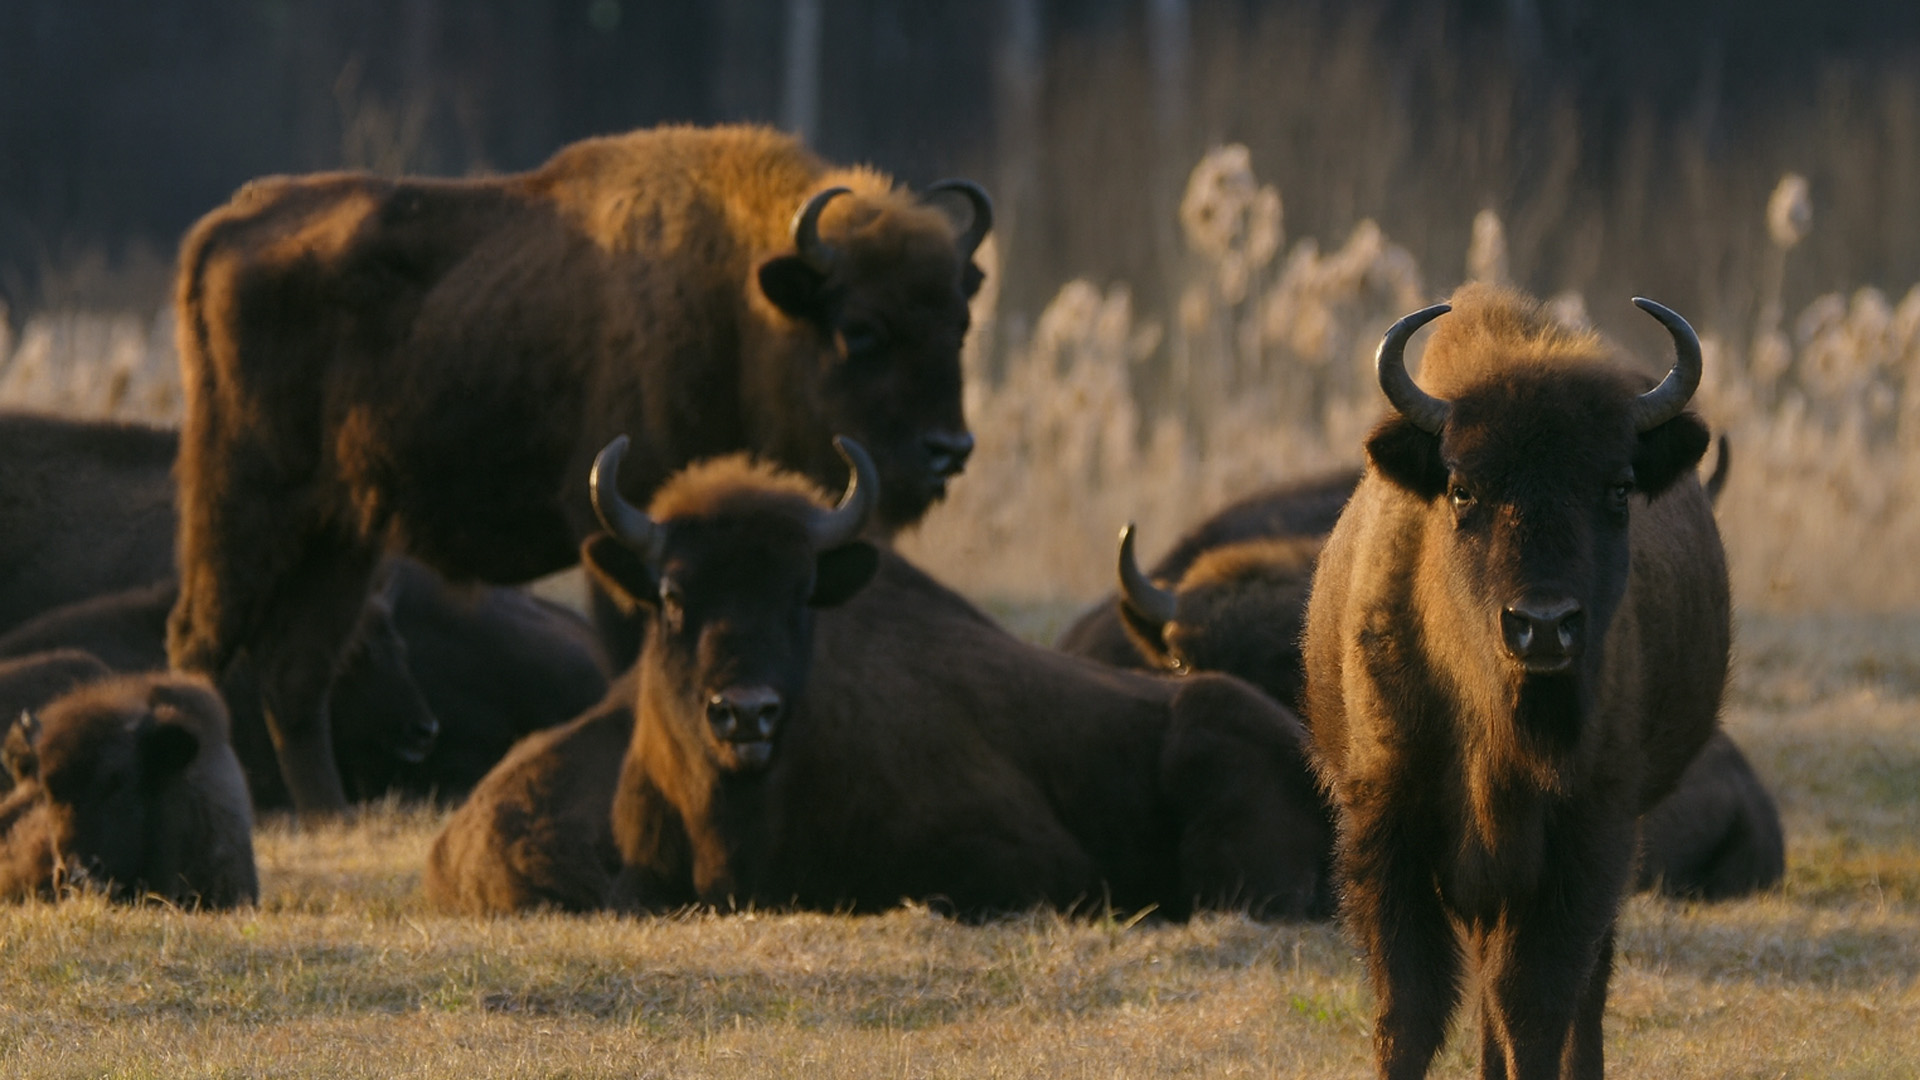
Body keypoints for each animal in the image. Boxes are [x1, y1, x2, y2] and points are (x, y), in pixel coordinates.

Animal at [166, 123, 992, 815]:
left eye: (959, 322)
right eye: (862, 328)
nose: (949, 449)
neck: (742, 304)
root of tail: (224, 226)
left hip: (342, 534)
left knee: (296, 672)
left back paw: (327, 817)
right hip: (244, 502)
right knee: (202, 639)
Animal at [1300, 284, 1729, 1078]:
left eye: (1619, 488)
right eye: (1462, 489)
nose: (1545, 625)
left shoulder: (1589, 832)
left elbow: (1534, 1002)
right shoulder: (1387, 822)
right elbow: (1410, 1008)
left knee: (1582, 986)